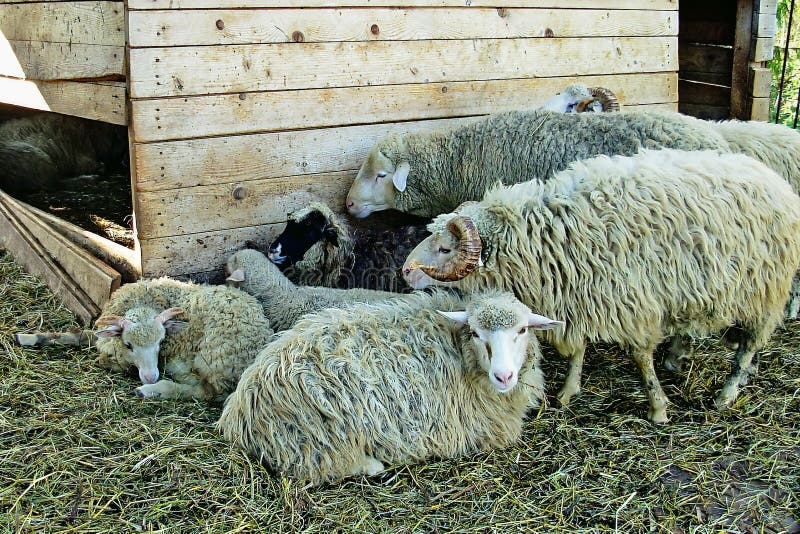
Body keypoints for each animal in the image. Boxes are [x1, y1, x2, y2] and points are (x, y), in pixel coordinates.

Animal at [94, 277, 273, 401]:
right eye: (128, 345)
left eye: (161, 341)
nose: (151, 377)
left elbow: (105, 361)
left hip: (214, 358)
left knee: (207, 392)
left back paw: (153, 390)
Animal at [216, 289, 564, 486]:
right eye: (477, 333)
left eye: (522, 330)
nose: (504, 376)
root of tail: (237, 411)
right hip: (319, 436)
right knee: (326, 465)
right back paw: (374, 464)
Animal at [401, 149, 800, 423]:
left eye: (445, 248)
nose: (405, 271)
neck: (550, 236)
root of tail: (773, 179)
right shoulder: (576, 297)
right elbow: (577, 350)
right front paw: (568, 391)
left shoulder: (634, 304)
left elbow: (640, 358)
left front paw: (658, 408)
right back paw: (680, 355)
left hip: (766, 289)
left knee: (750, 343)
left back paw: (727, 392)